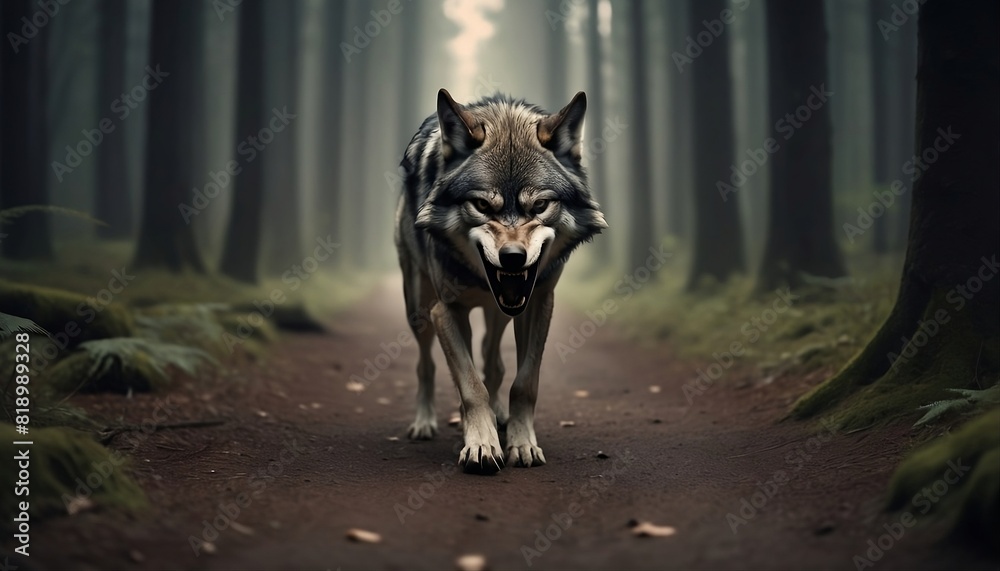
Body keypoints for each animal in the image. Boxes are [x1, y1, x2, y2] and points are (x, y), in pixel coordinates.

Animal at [394, 89, 607, 474]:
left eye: (540, 205)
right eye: (481, 205)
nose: (512, 257)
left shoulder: (537, 304)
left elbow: (523, 382)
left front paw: (521, 444)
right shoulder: (446, 311)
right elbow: (470, 386)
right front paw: (480, 445)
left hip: (497, 317)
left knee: (492, 361)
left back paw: (497, 416)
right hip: (418, 309)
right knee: (427, 365)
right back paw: (425, 423)